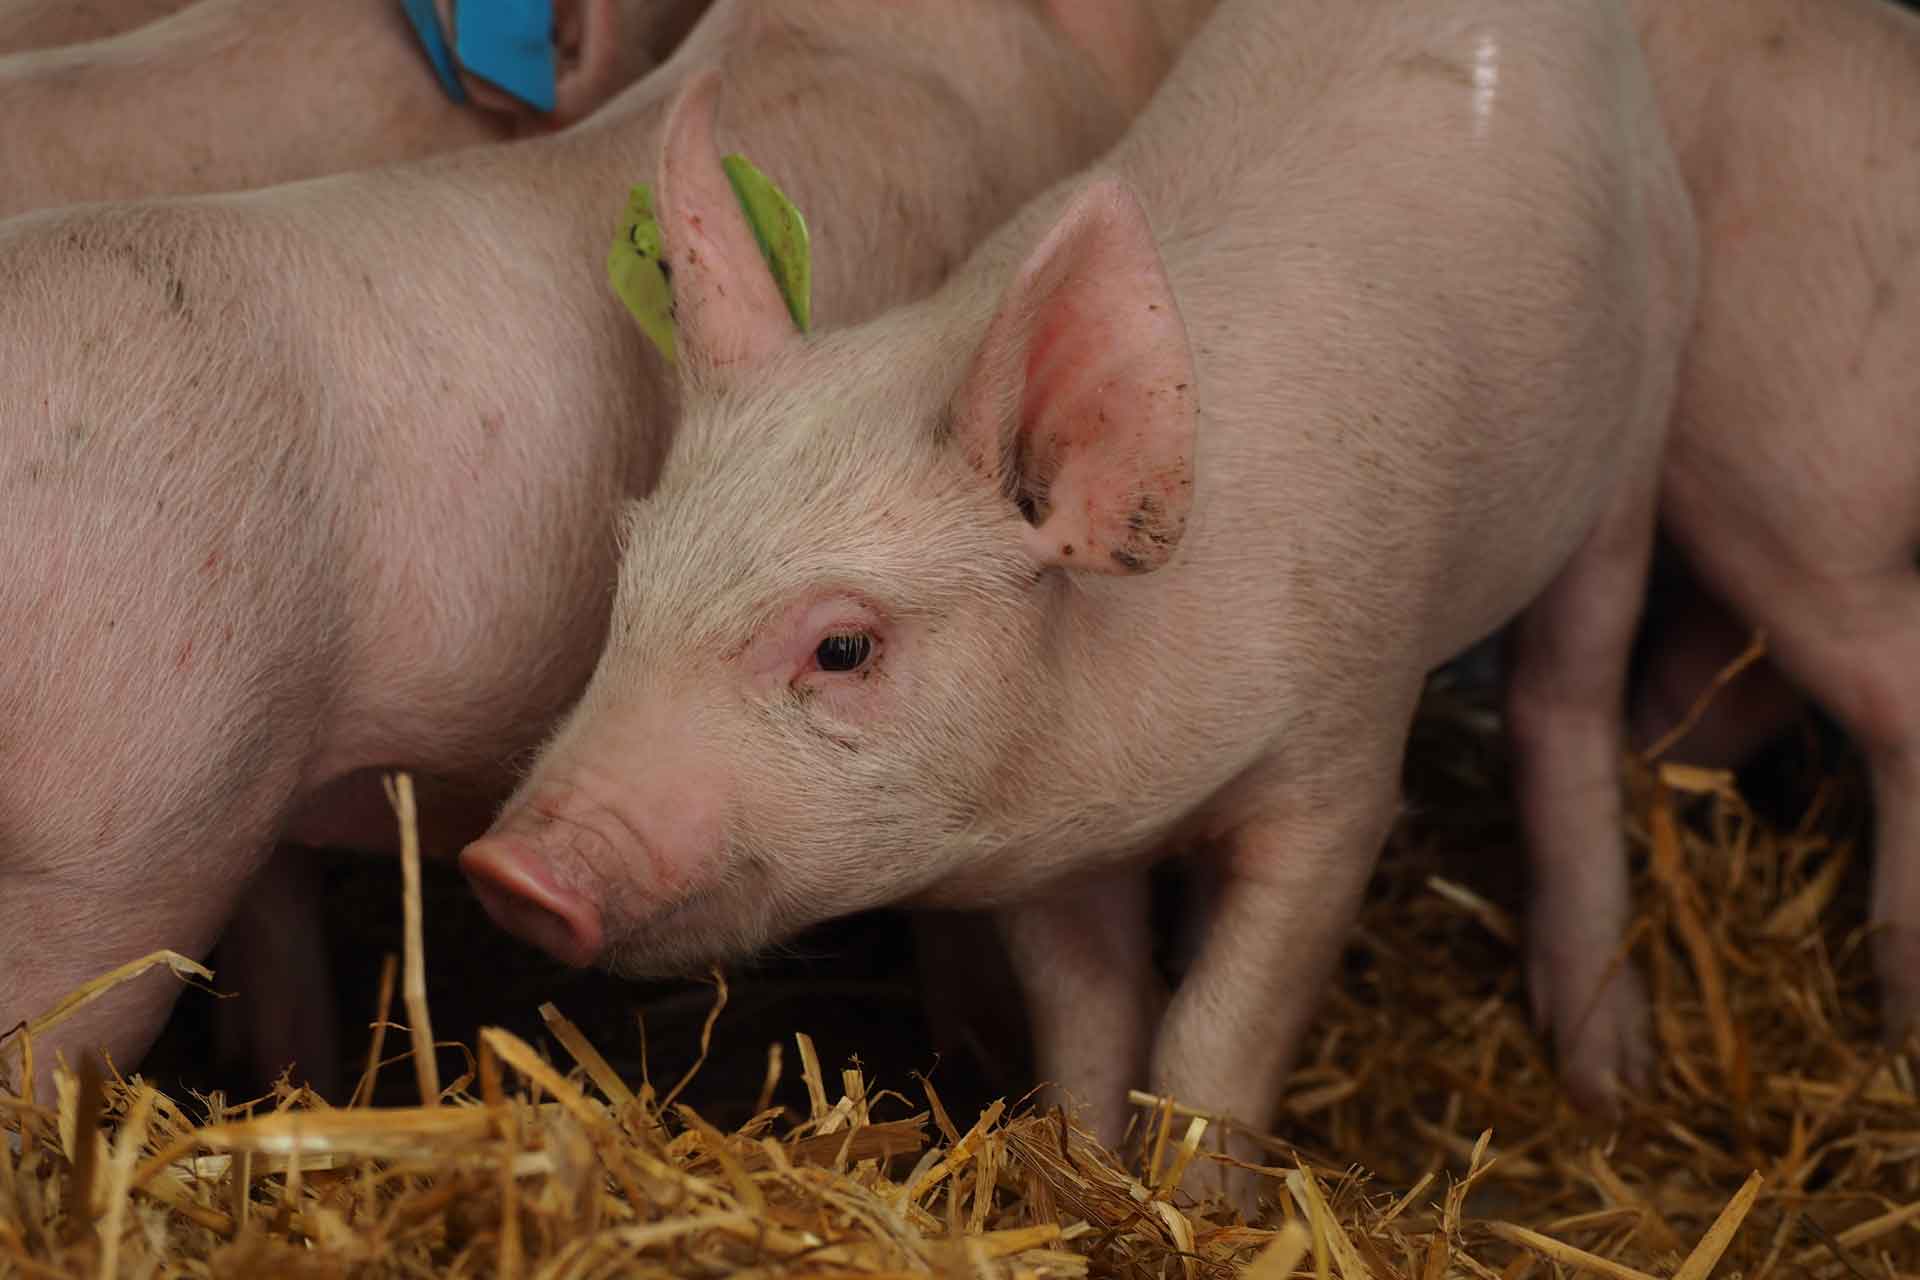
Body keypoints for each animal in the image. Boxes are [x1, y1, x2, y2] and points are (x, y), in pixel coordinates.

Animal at [461, 0, 1696, 1194]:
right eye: (630, 574)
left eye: (844, 647)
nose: (506, 869)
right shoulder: (1038, 849)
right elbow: (1091, 1027)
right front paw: (1091, 1177)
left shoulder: (1344, 759)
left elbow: (1214, 1036)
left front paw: (1198, 1208)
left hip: (1640, 418)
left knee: (1566, 694)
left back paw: (1611, 1080)